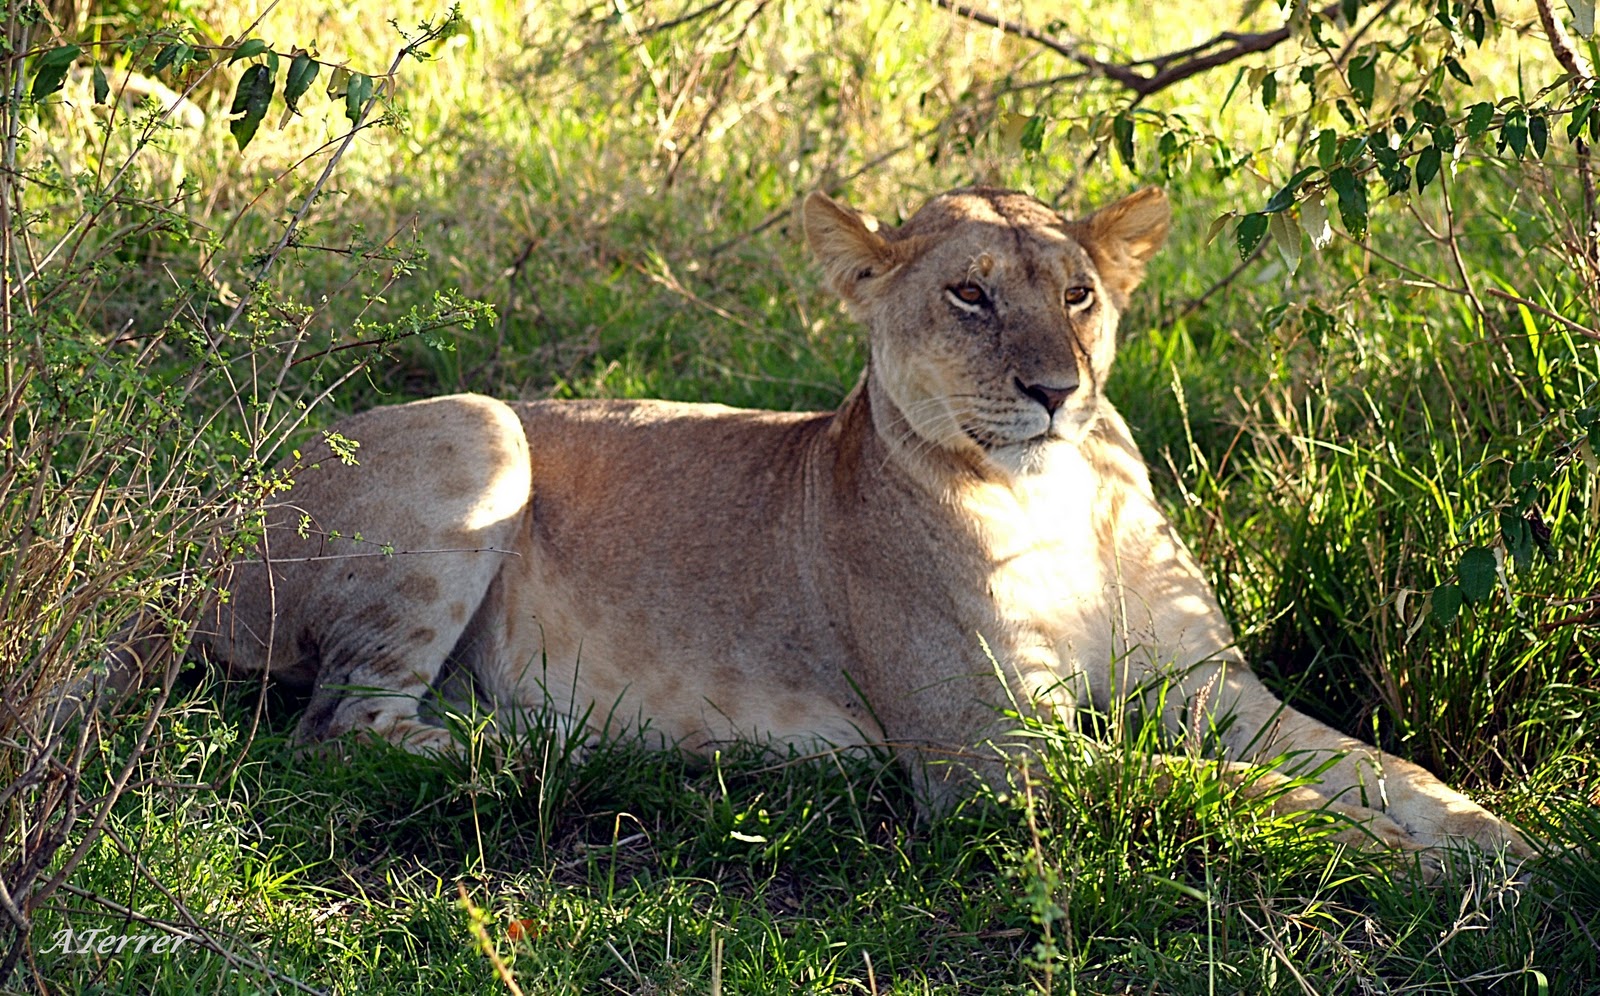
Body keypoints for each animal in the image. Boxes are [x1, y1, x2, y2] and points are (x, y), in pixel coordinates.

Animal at [198, 185, 1532, 868]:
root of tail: (211, 538)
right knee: (339, 730)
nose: (1054, 391)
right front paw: (1412, 862)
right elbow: (1253, 794)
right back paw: (583, 752)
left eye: (1079, 295)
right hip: (480, 426)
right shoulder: (983, 760)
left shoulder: (1207, 685)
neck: (1050, 498)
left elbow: (1370, 764)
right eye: (969, 294)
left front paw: (1500, 839)